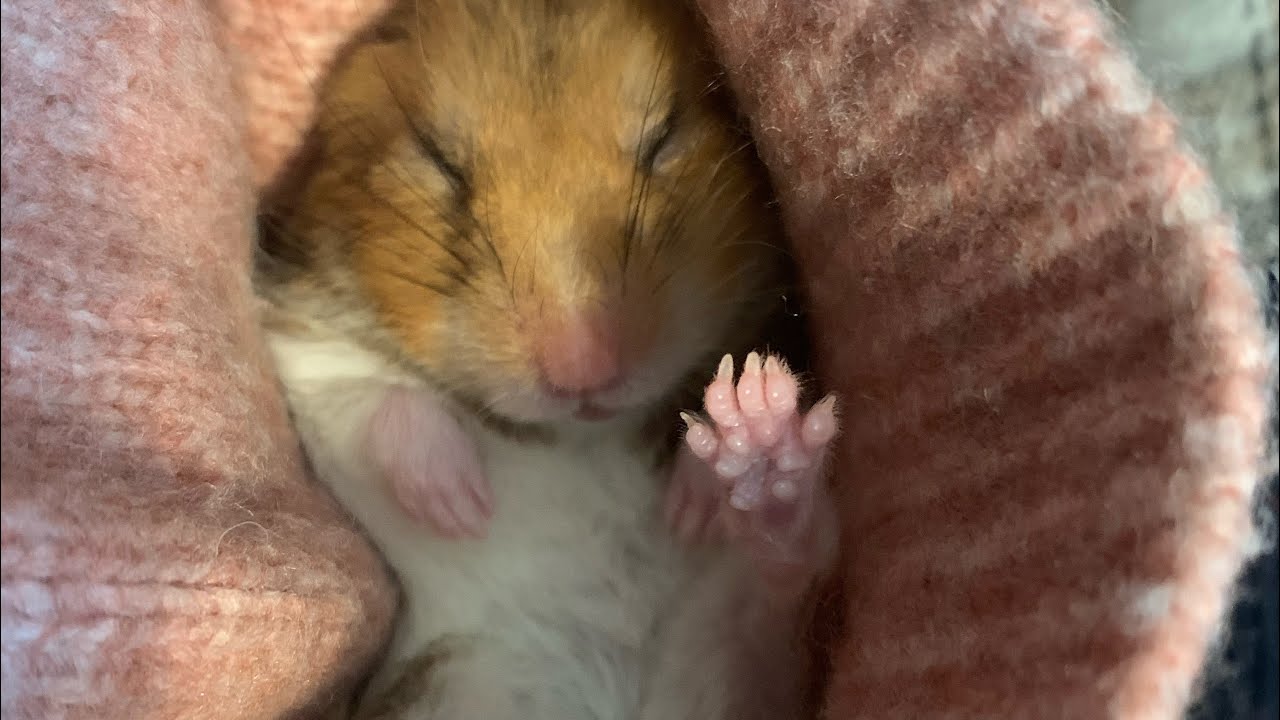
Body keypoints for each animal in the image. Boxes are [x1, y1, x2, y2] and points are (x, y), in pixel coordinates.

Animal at [255, 1, 841, 718]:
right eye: (438, 160)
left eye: (666, 136)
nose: (583, 372)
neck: (573, 432)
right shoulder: (299, 342)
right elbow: (373, 399)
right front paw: (462, 504)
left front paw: (695, 498)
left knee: (787, 577)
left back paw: (759, 444)